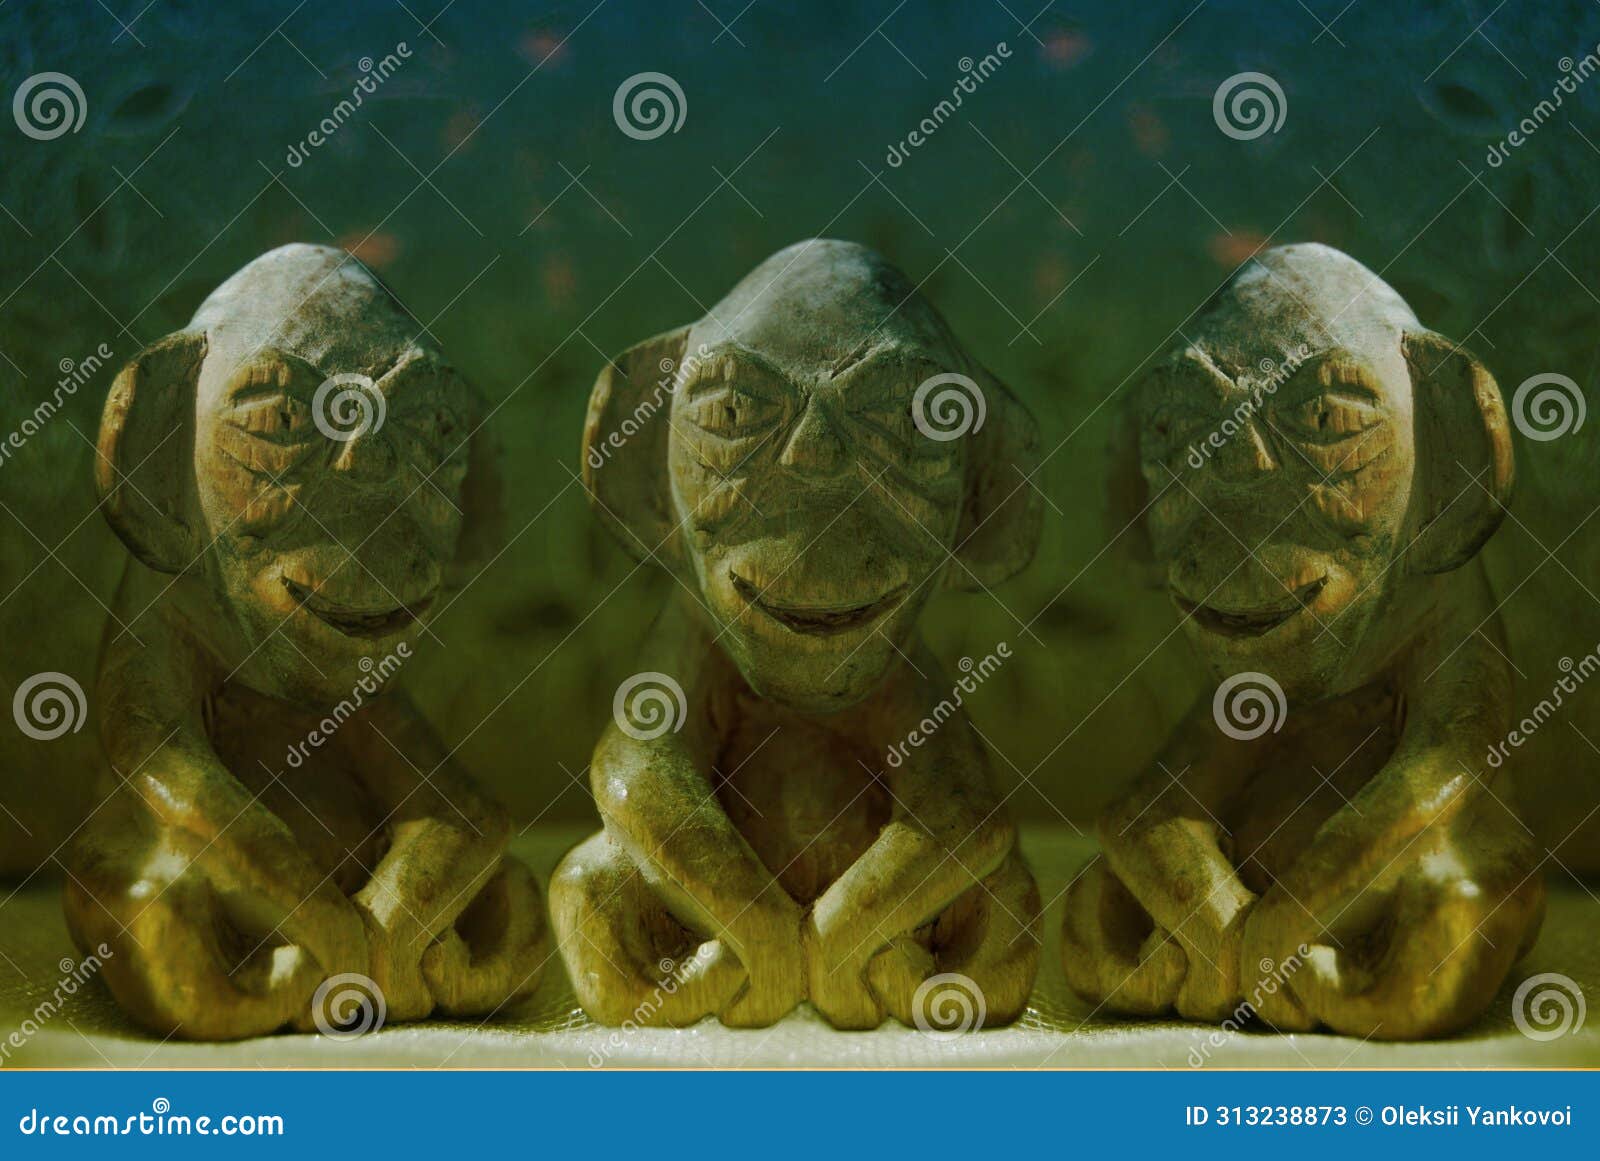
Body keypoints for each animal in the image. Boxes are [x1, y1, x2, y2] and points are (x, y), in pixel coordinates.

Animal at [63, 244, 547, 1040]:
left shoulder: (377, 689)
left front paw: (396, 941)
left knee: (519, 889)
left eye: (438, 429)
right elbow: (172, 770)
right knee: (156, 906)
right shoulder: (152, 631)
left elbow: (465, 808)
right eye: (282, 419)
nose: (373, 480)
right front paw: (333, 942)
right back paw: (269, 982)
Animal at [551, 239, 1044, 1030]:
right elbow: (637, 764)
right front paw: (766, 951)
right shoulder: (687, 632)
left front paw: (841, 953)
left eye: (918, 421)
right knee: (584, 877)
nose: (816, 467)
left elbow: (966, 805)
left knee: (1015, 899)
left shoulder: (907, 668)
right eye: (730, 412)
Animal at [1062, 242, 1545, 1040]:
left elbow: (1435, 776)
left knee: (1456, 897)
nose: (1233, 486)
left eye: (1326, 418)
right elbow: (1144, 807)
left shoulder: (1460, 644)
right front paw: (1213, 942)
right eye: (1171, 431)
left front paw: (1278, 947)